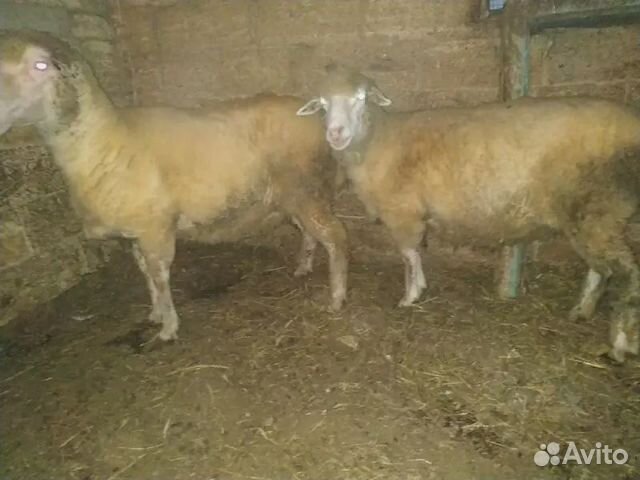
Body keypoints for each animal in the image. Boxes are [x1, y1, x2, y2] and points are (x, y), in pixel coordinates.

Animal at [0, 30, 348, 342]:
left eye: (40, 65)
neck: (105, 141)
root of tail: (318, 115)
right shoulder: (136, 232)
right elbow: (145, 272)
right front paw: (155, 313)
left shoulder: (155, 227)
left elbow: (159, 276)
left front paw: (168, 328)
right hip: (292, 195)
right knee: (310, 232)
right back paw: (303, 267)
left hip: (306, 187)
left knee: (335, 236)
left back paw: (337, 297)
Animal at [297, 65, 640, 363]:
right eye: (323, 105)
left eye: (360, 98)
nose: (335, 134)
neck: (378, 139)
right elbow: (415, 254)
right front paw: (420, 287)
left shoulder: (403, 212)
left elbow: (408, 255)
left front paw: (411, 295)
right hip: (593, 214)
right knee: (600, 268)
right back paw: (582, 311)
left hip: (602, 206)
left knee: (626, 273)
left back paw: (620, 344)